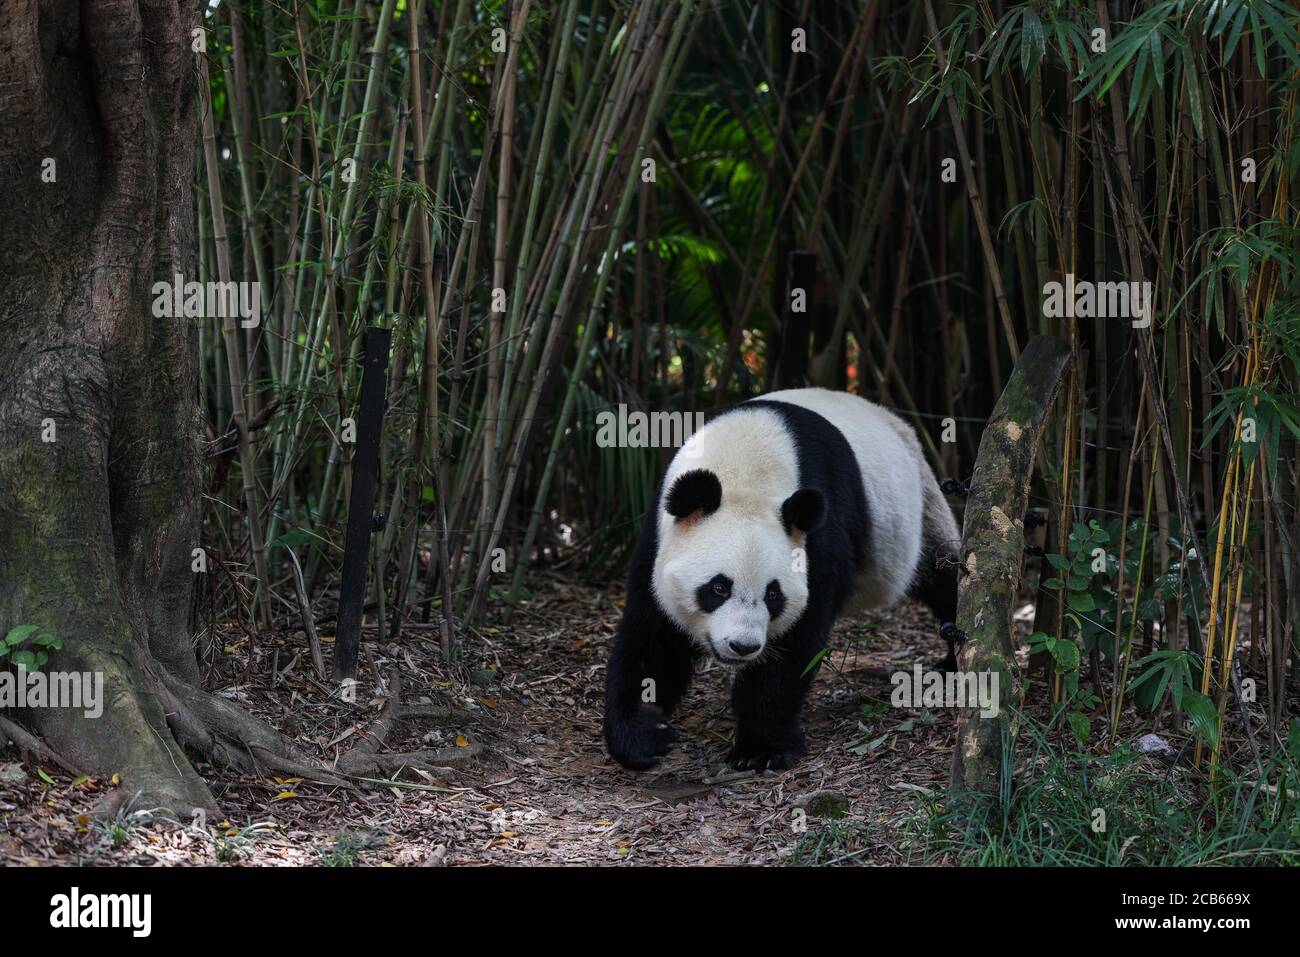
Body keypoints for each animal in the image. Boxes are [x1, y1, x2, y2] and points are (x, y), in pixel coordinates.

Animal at [603, 387, 964, 772]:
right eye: (718, 587)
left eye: (773, 595)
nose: (742, 646)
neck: (746, 462)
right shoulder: (660, 533)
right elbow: (654, 632)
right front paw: (643, 733)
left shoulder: (818, 532)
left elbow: (796, 640)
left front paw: (760, 748)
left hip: (921, 508)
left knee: (944, 575)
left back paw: (952, 662)